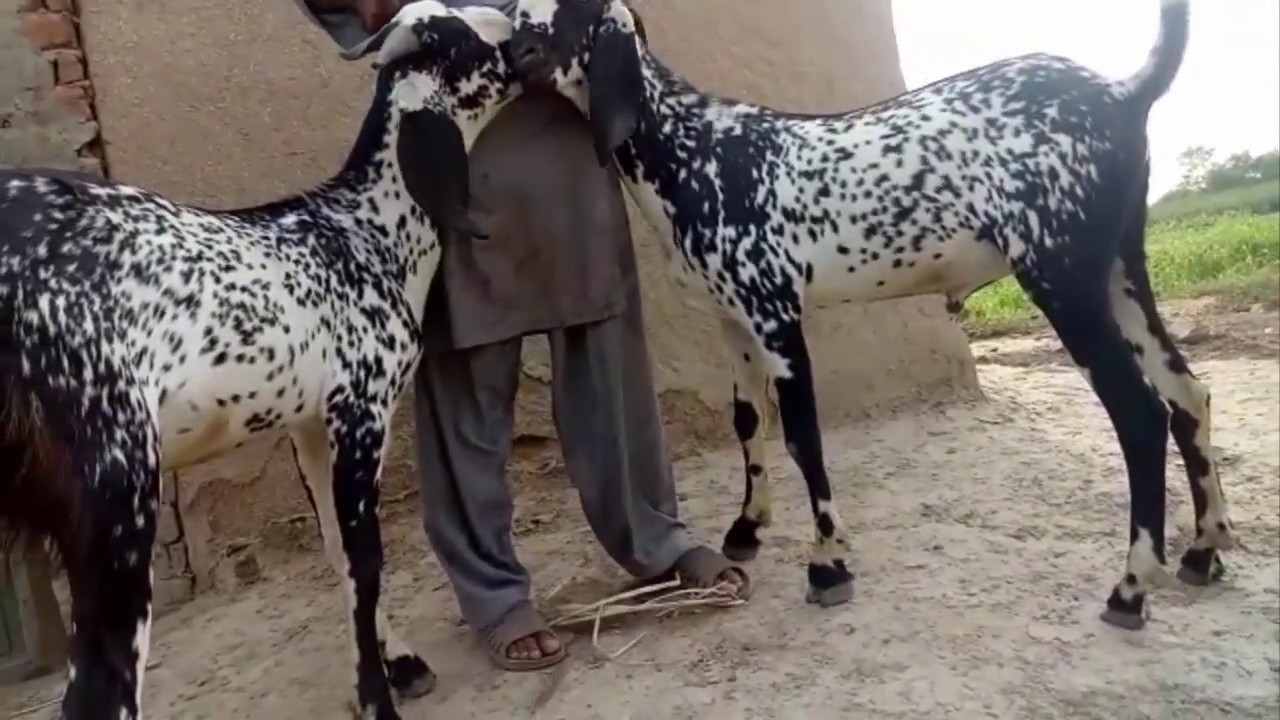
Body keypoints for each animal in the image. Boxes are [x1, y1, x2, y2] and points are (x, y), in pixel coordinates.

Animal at [0, 3, 519, 717]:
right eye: (462, 37)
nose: (523, 35)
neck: (361, 236)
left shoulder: (310, 424)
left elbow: (338, 548)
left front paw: (398, 664)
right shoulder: (361, 408)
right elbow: (367, 556)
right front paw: (375, 697)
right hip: (114, 481)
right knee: (103, 682)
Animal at [505, 0, 1235, 629]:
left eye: (548, 12)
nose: (504, 46)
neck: (695, 150)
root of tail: (1121, 91)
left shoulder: (776, 314)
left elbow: (803, 436)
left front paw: (828, 563)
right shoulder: (732, 320)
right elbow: (748, 423)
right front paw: (747, 528)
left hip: (1063, 277)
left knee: (1140, 414)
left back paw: (1132, 587)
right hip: (1119, 272)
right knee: (1187, 392)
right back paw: (1205, 550)